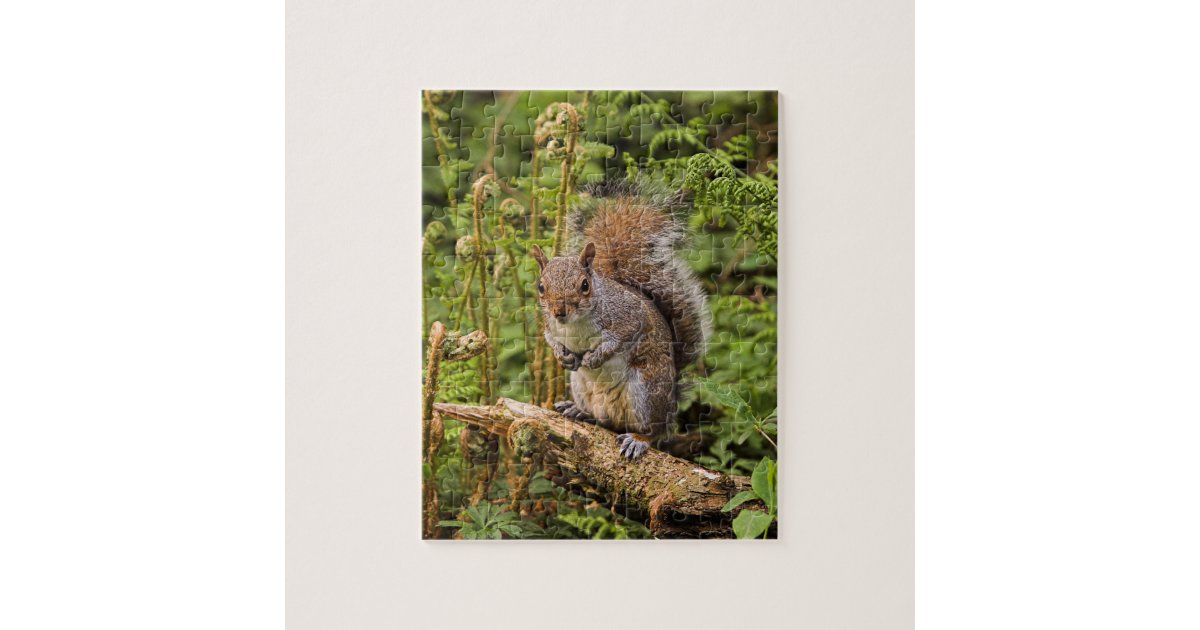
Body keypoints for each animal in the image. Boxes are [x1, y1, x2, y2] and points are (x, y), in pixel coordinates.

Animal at [530, 179, 711, 460]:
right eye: (541, 287)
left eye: (584, 285)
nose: (560, 311)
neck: (575, 323)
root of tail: (671, 403)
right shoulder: (550, 326)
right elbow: (551, 338)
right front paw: (563, 355)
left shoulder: (630, 318)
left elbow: (620, 339)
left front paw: (595, 357)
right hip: (581, 386)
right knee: (603, 419)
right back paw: (578, 411)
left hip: (646, 392)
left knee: (653, 431)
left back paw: (638, 439)